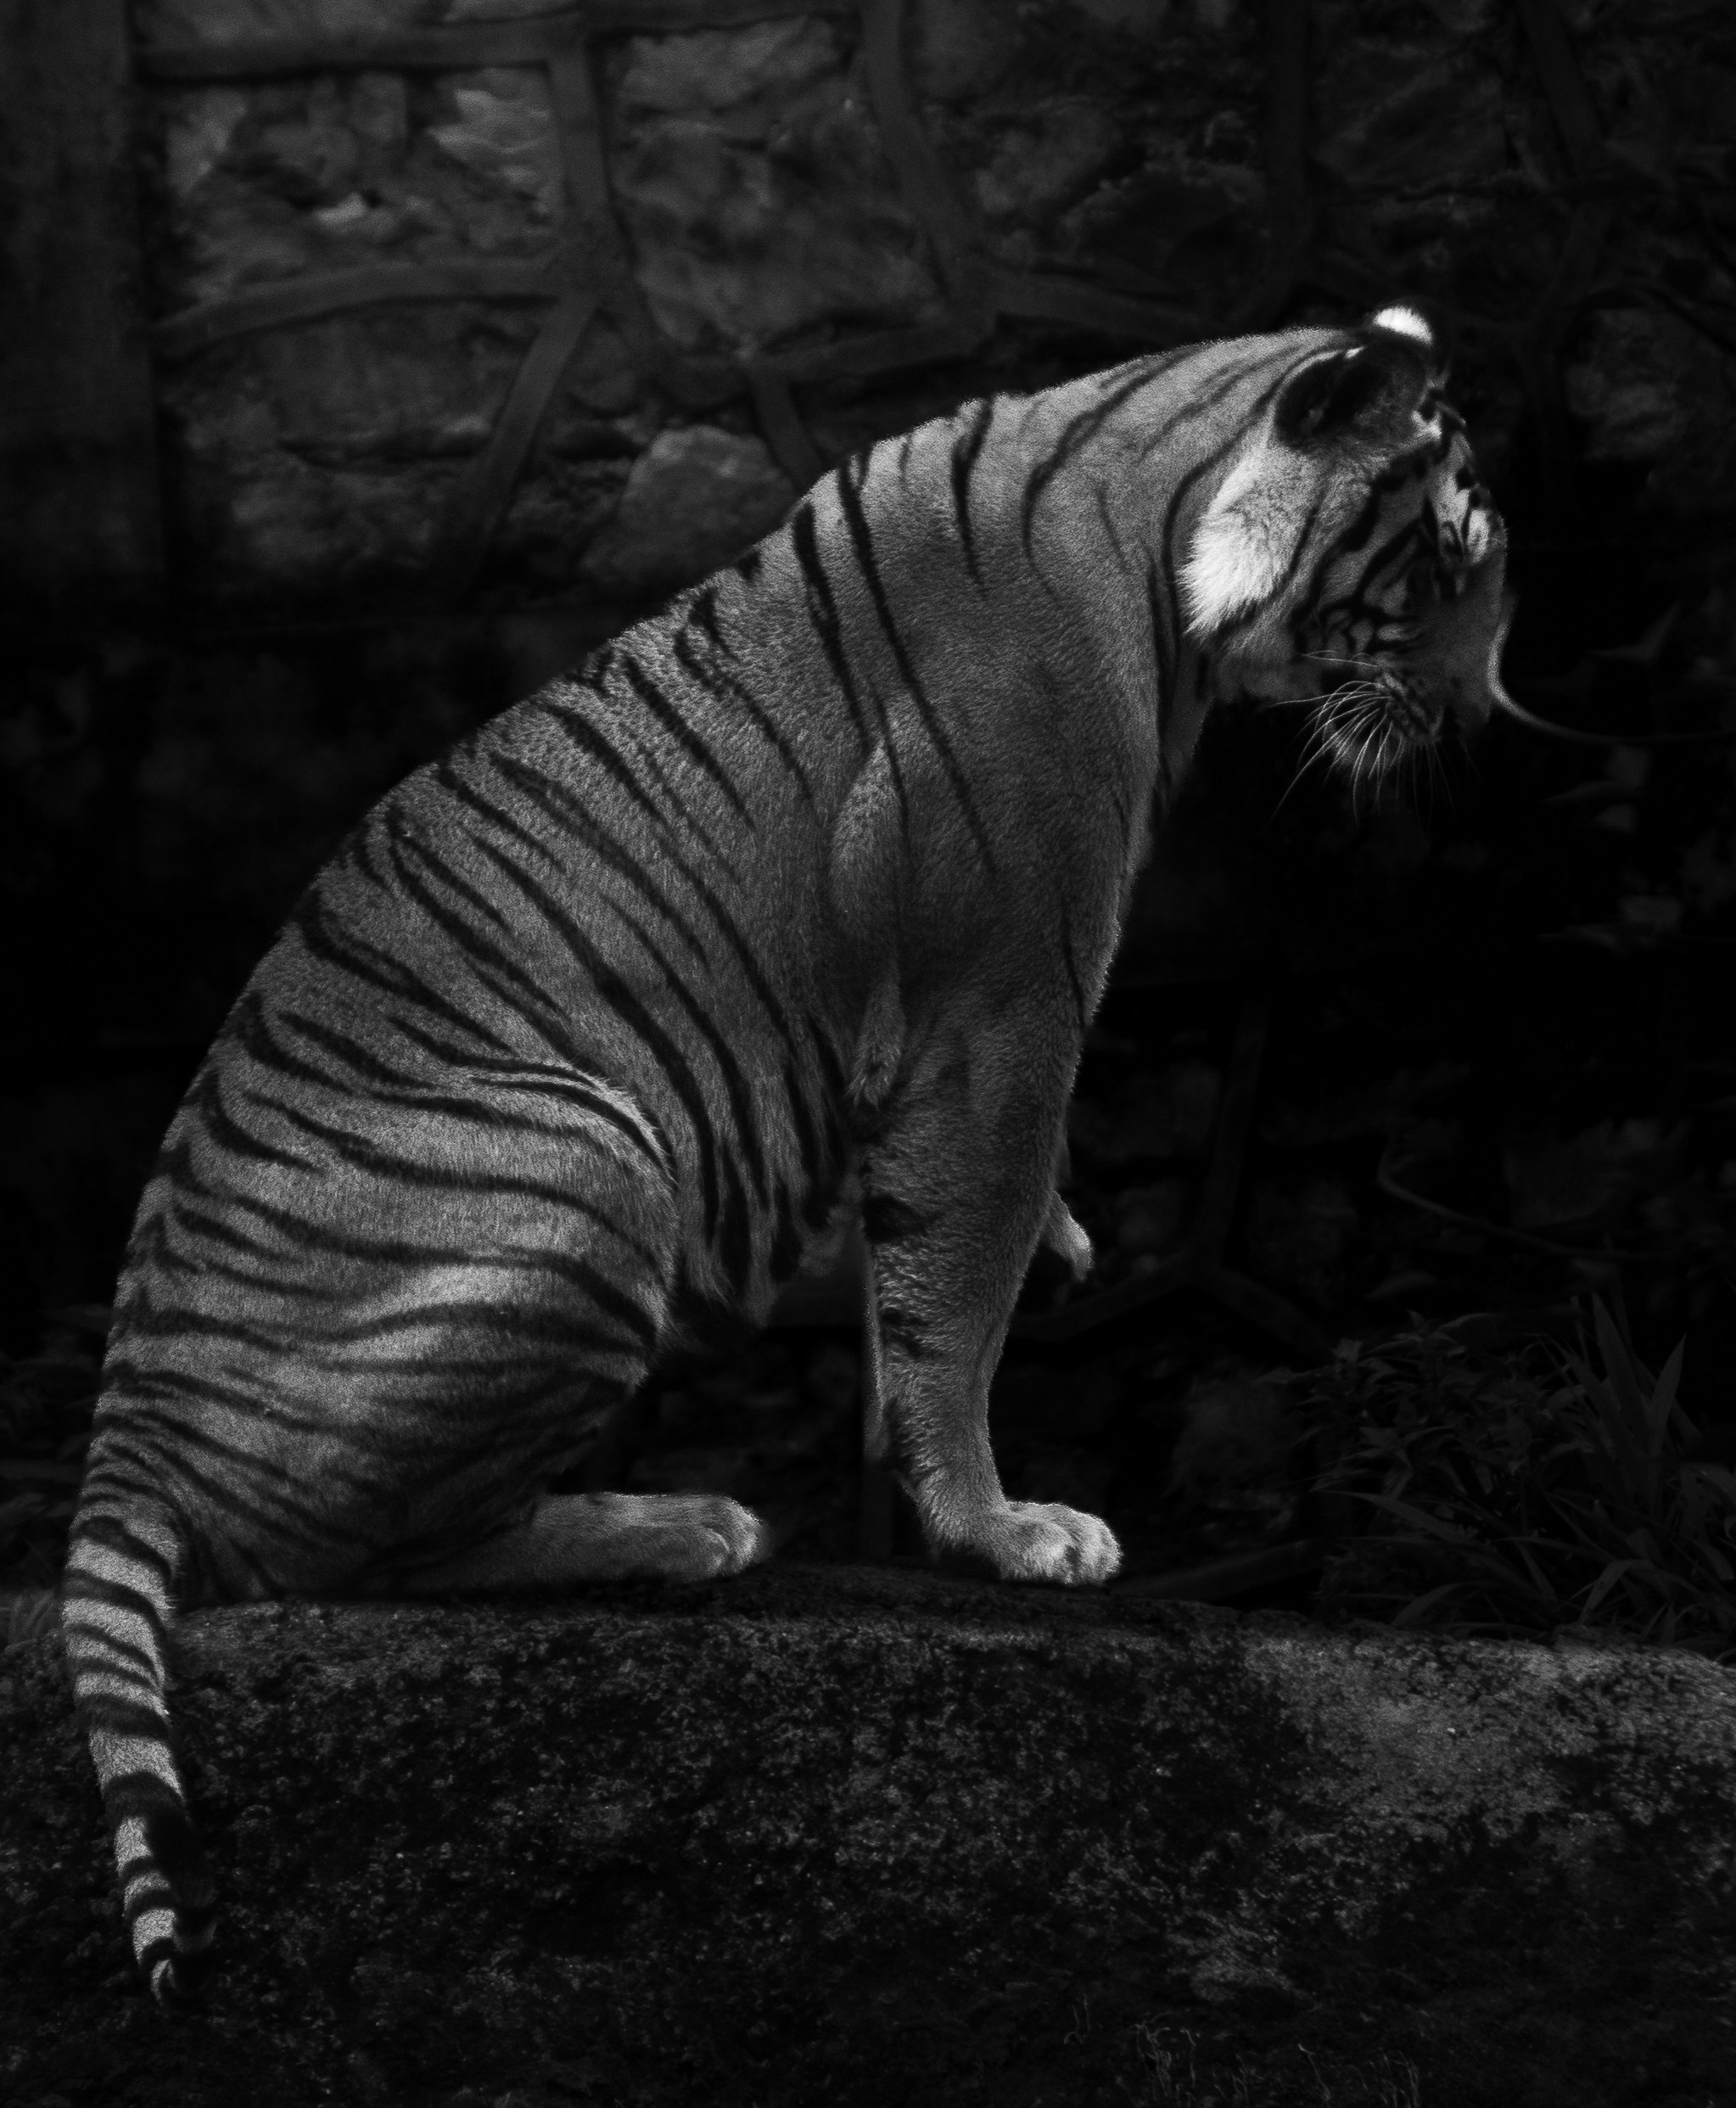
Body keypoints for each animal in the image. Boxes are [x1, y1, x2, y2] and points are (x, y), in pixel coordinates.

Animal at [61, 303, 1512, 2006]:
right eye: (1446, 555)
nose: (1484, 711)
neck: (1158, 535)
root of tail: (128, 1418)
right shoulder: (1006, 1010)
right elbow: (959, 1298)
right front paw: (1007, 1532)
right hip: (588, 1158)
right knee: (376, 1554)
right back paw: (686, 1527)